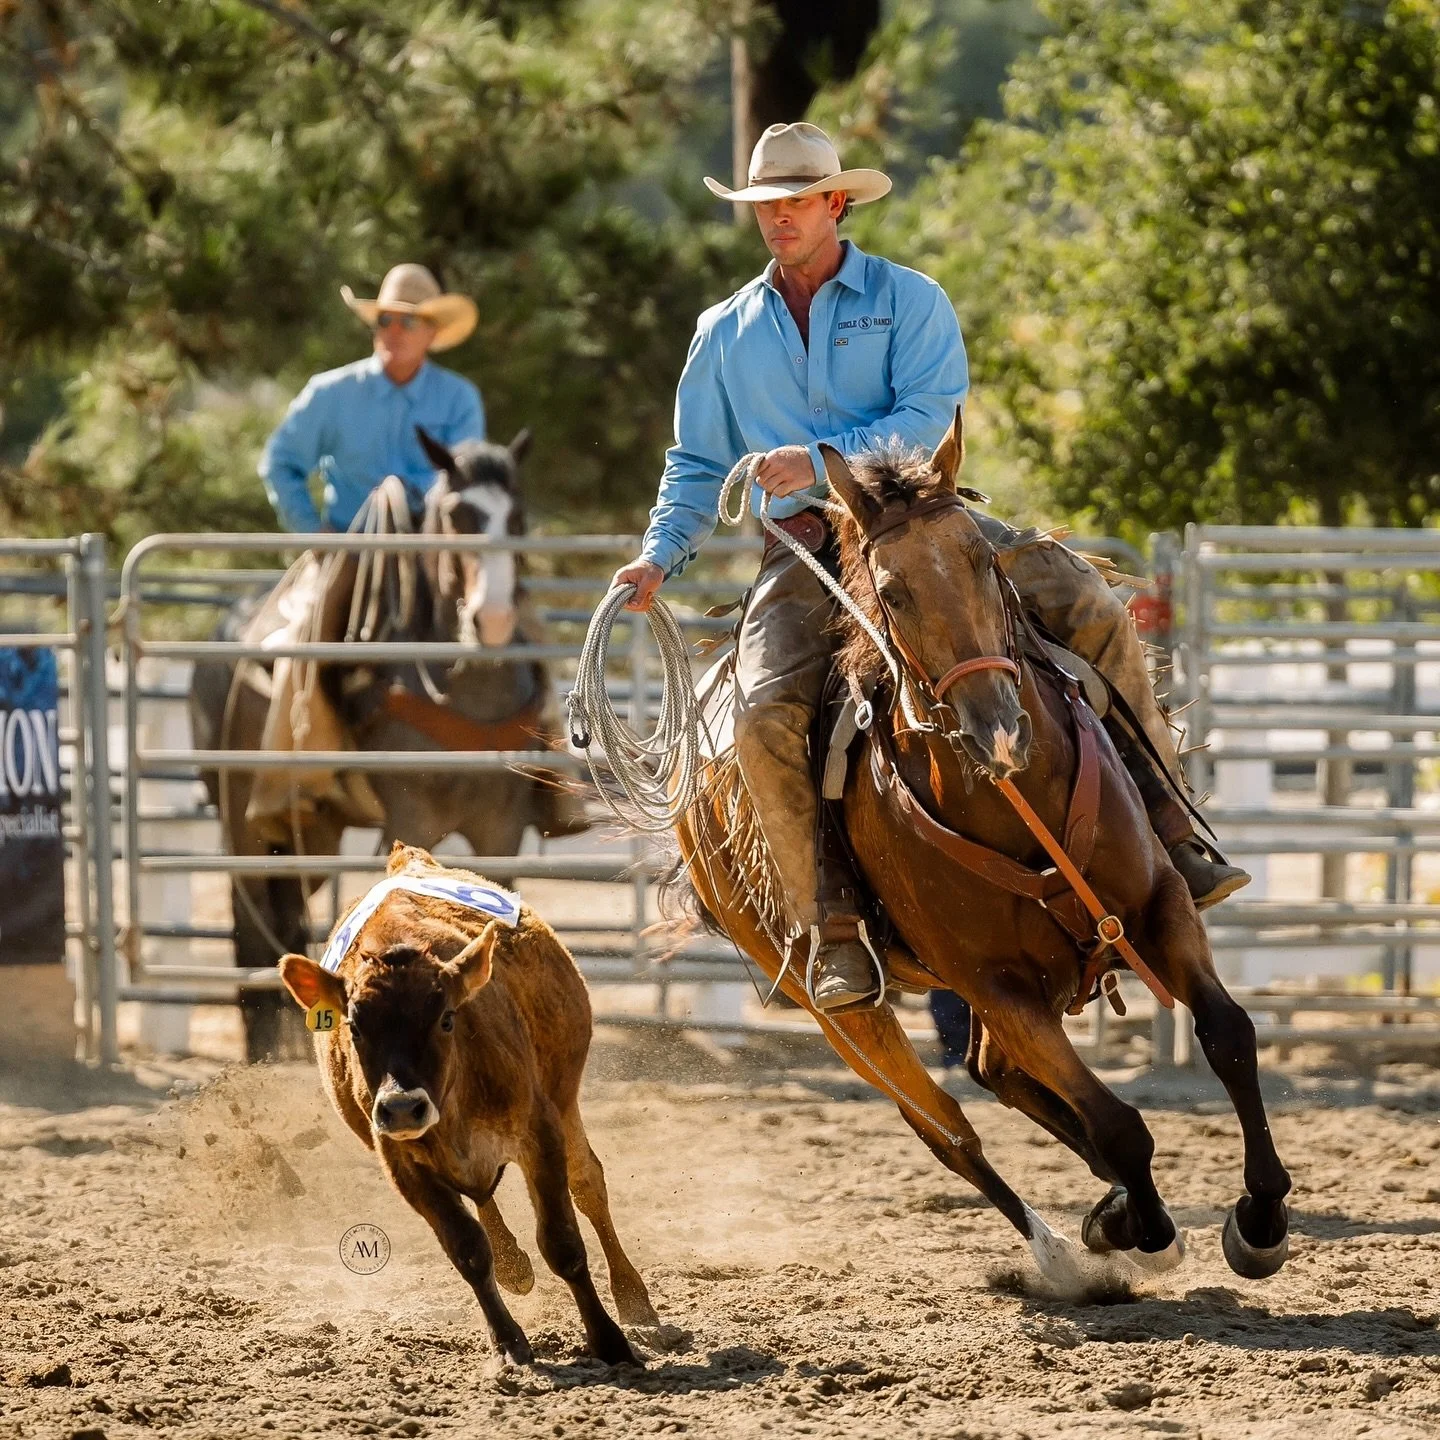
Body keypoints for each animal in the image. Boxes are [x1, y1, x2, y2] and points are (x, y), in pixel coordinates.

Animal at [189, 430, 584, 1006]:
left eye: (517, 516)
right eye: (456, 515)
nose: (491, 619)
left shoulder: (501, 827)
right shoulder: (410, 815)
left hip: (314, 832)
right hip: (248, 826)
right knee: (253, 924)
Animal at [674, 414, 1291, 1288]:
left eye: (979, 558)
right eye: (892, 591)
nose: (997, 728)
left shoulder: (1159, 909)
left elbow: (1229, 1036)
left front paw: (1260, 1220)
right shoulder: (995, 986)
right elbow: (1119, 1124)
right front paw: (1145, 1228)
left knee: (994, 1075)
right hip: (834, 1008)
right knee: (949, 1130)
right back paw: (1065, 1249)